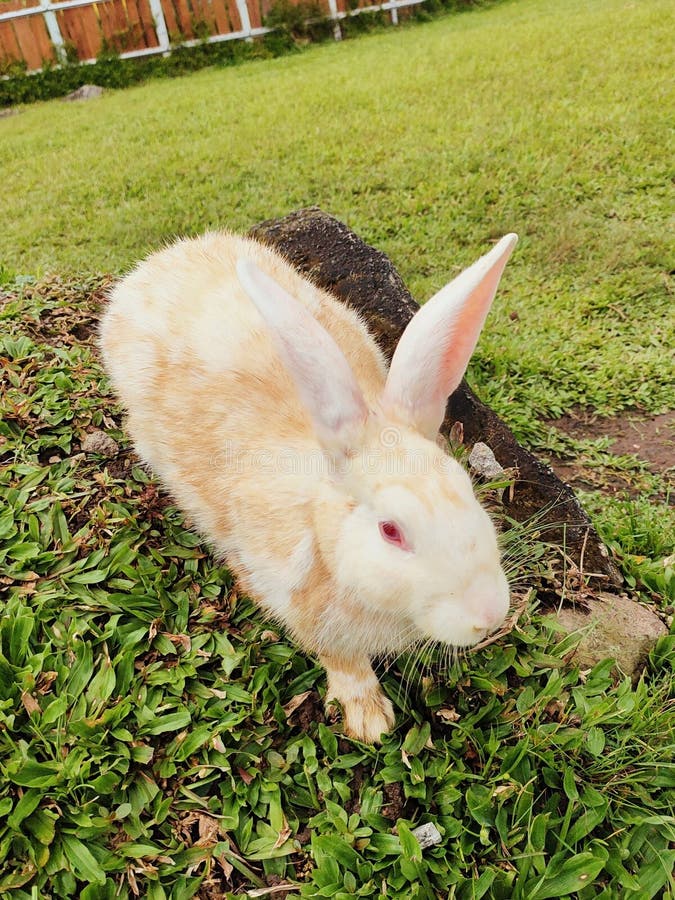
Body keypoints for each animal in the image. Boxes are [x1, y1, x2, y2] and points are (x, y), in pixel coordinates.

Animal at [99, 228, 518, 744]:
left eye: (467, 489)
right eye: (391, 531)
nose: (489, 615)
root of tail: (163, 259)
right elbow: (342, 662)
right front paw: (369, 720)